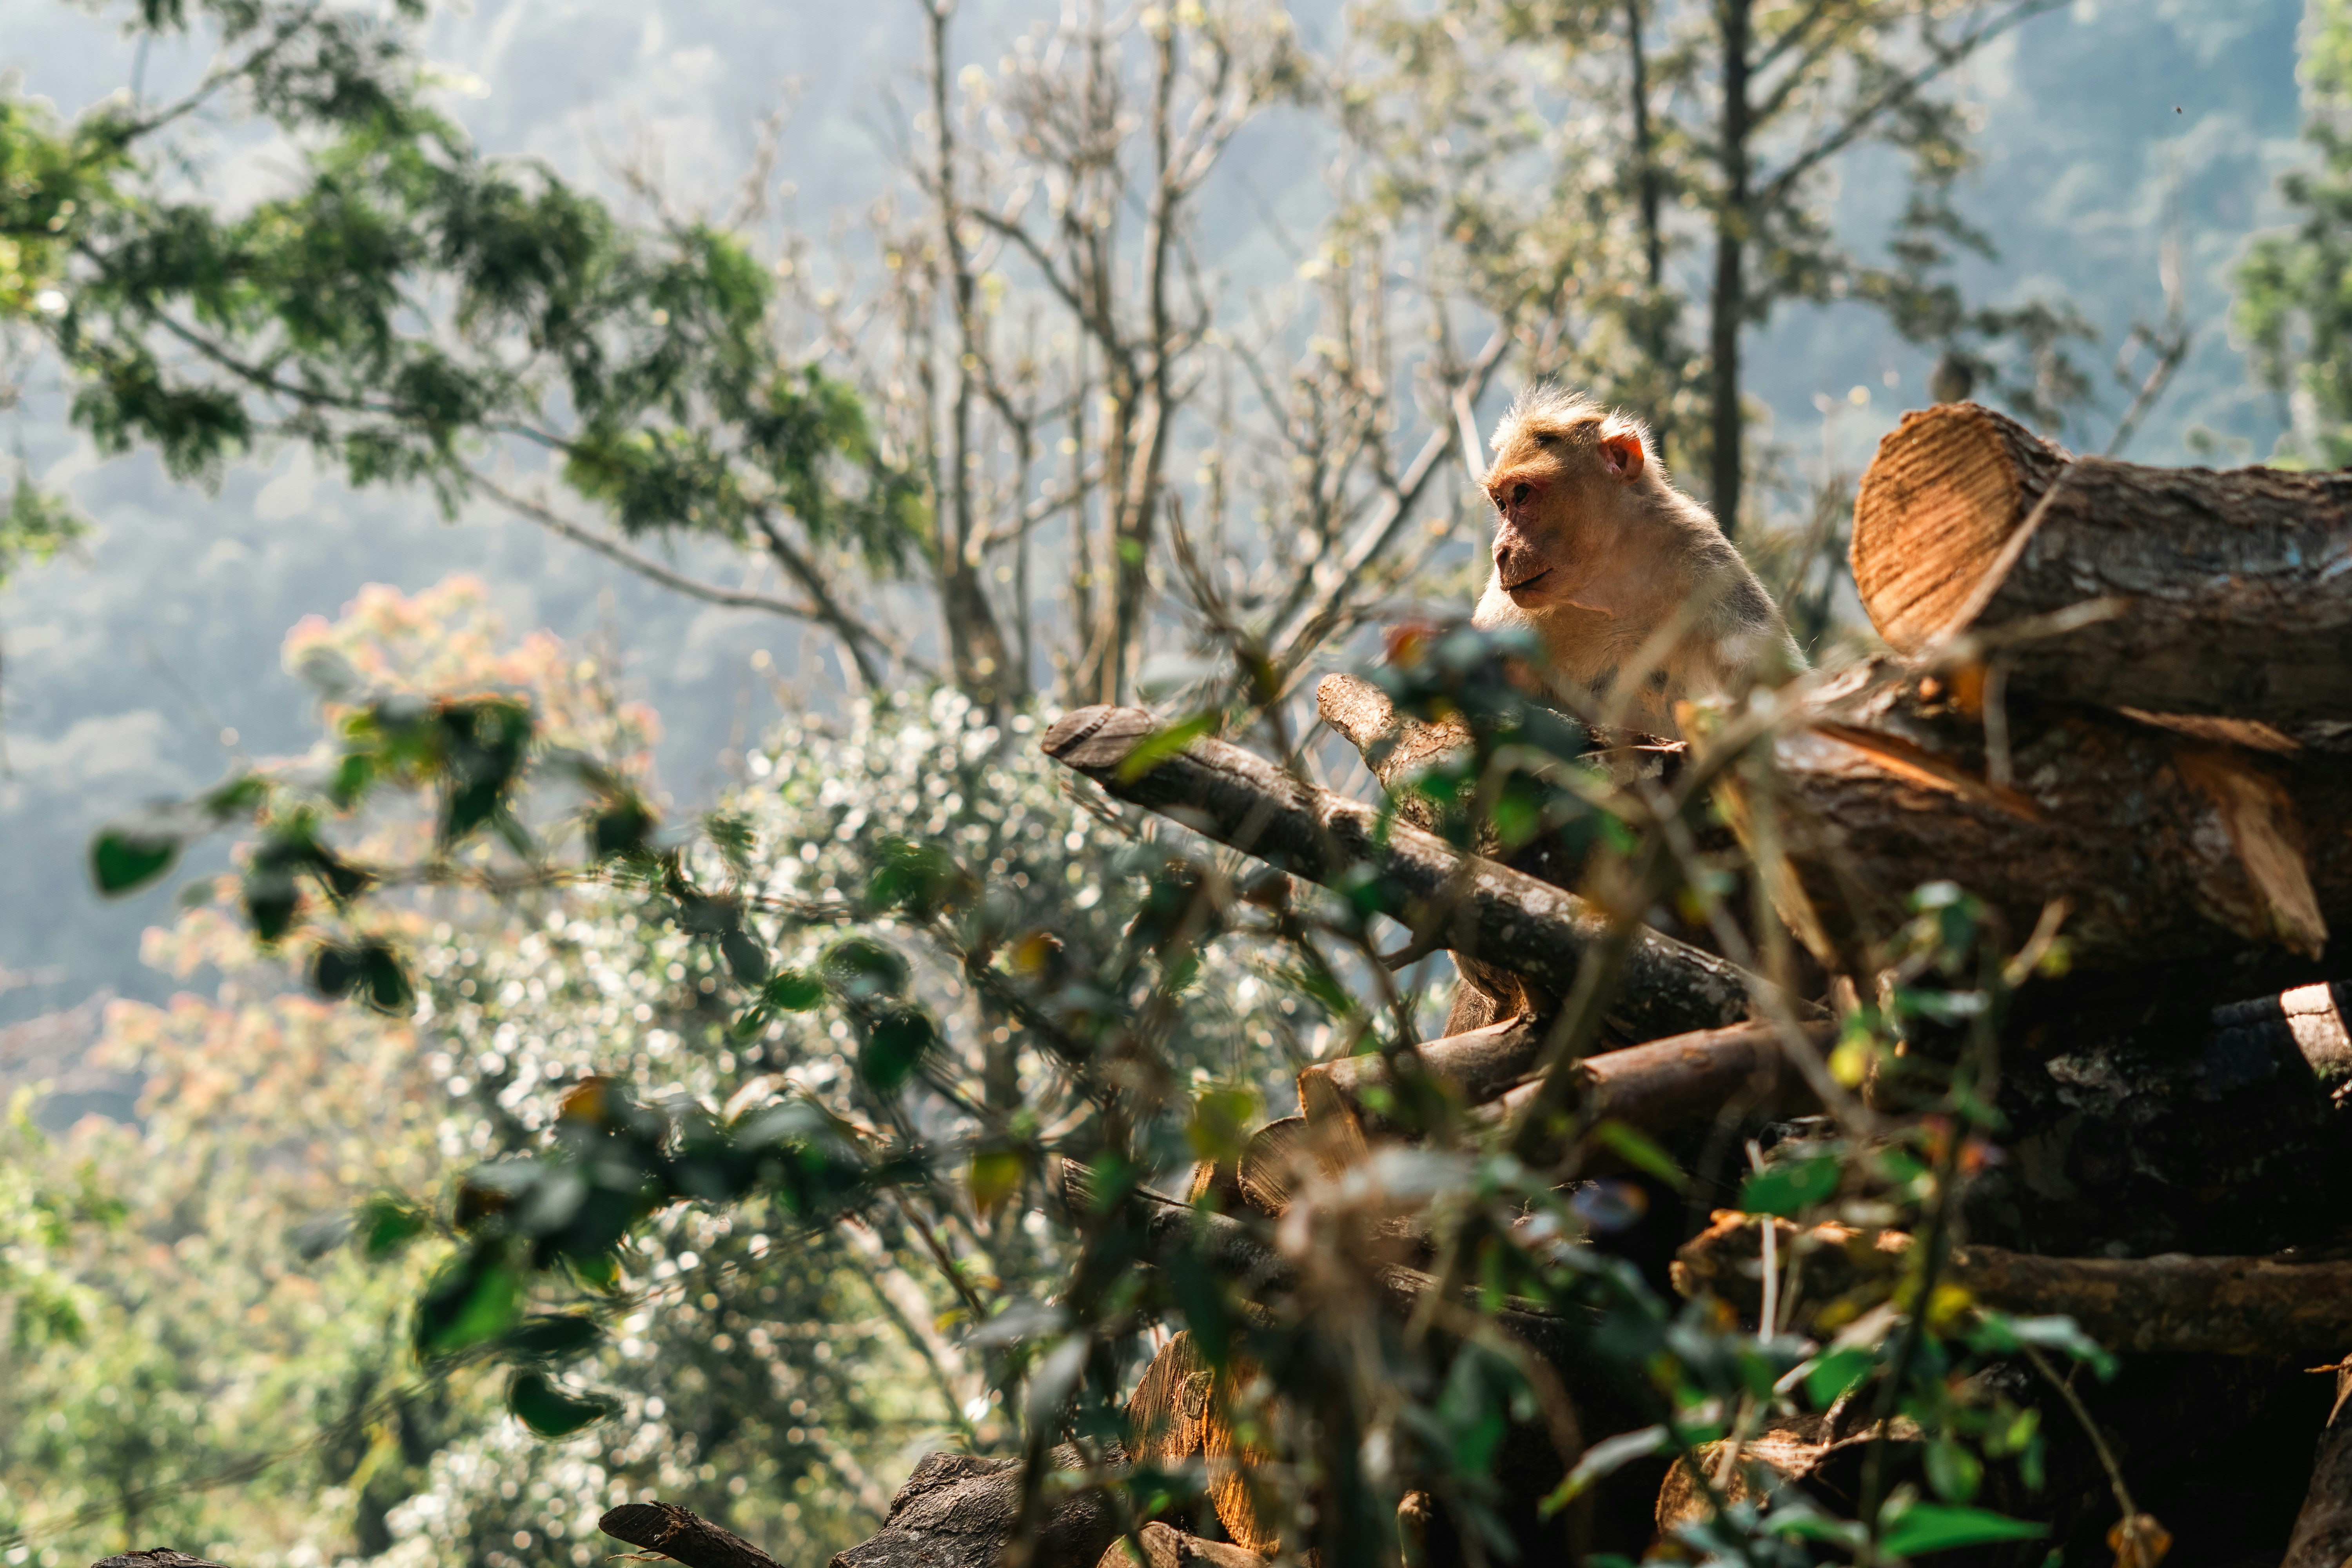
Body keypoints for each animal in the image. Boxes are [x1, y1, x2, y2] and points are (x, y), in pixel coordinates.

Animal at [1471, 383, 1805, 738]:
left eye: (1521, 494)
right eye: (1501, 503)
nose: (1499, 552)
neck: (1607, 583)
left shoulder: (1705, 558)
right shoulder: (1504, 607)